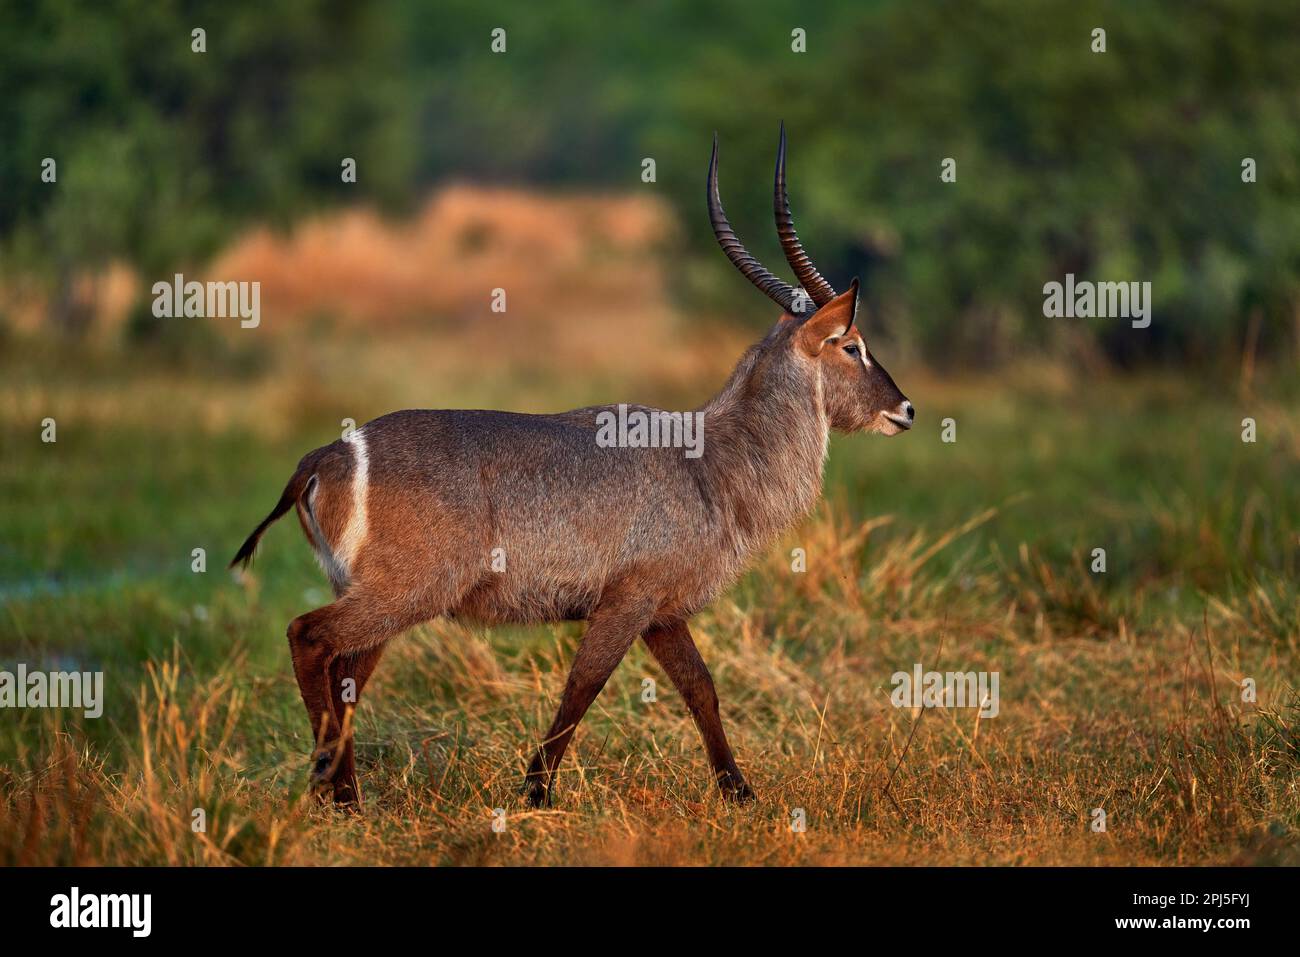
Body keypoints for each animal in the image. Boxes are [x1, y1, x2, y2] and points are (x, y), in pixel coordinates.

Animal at [231, 126, 914, 808]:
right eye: (853, 346)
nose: (905, 409)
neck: (714, 461)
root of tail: (325, 454)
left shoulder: (663, 611)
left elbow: (701, 688)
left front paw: (738, 792)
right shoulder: (627, 599)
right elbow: (582, 689)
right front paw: (536, 792)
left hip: (378, 593)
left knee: (347, 671)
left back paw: (345, 792)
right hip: (406, 590)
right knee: (310, 637)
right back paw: (333, 788)